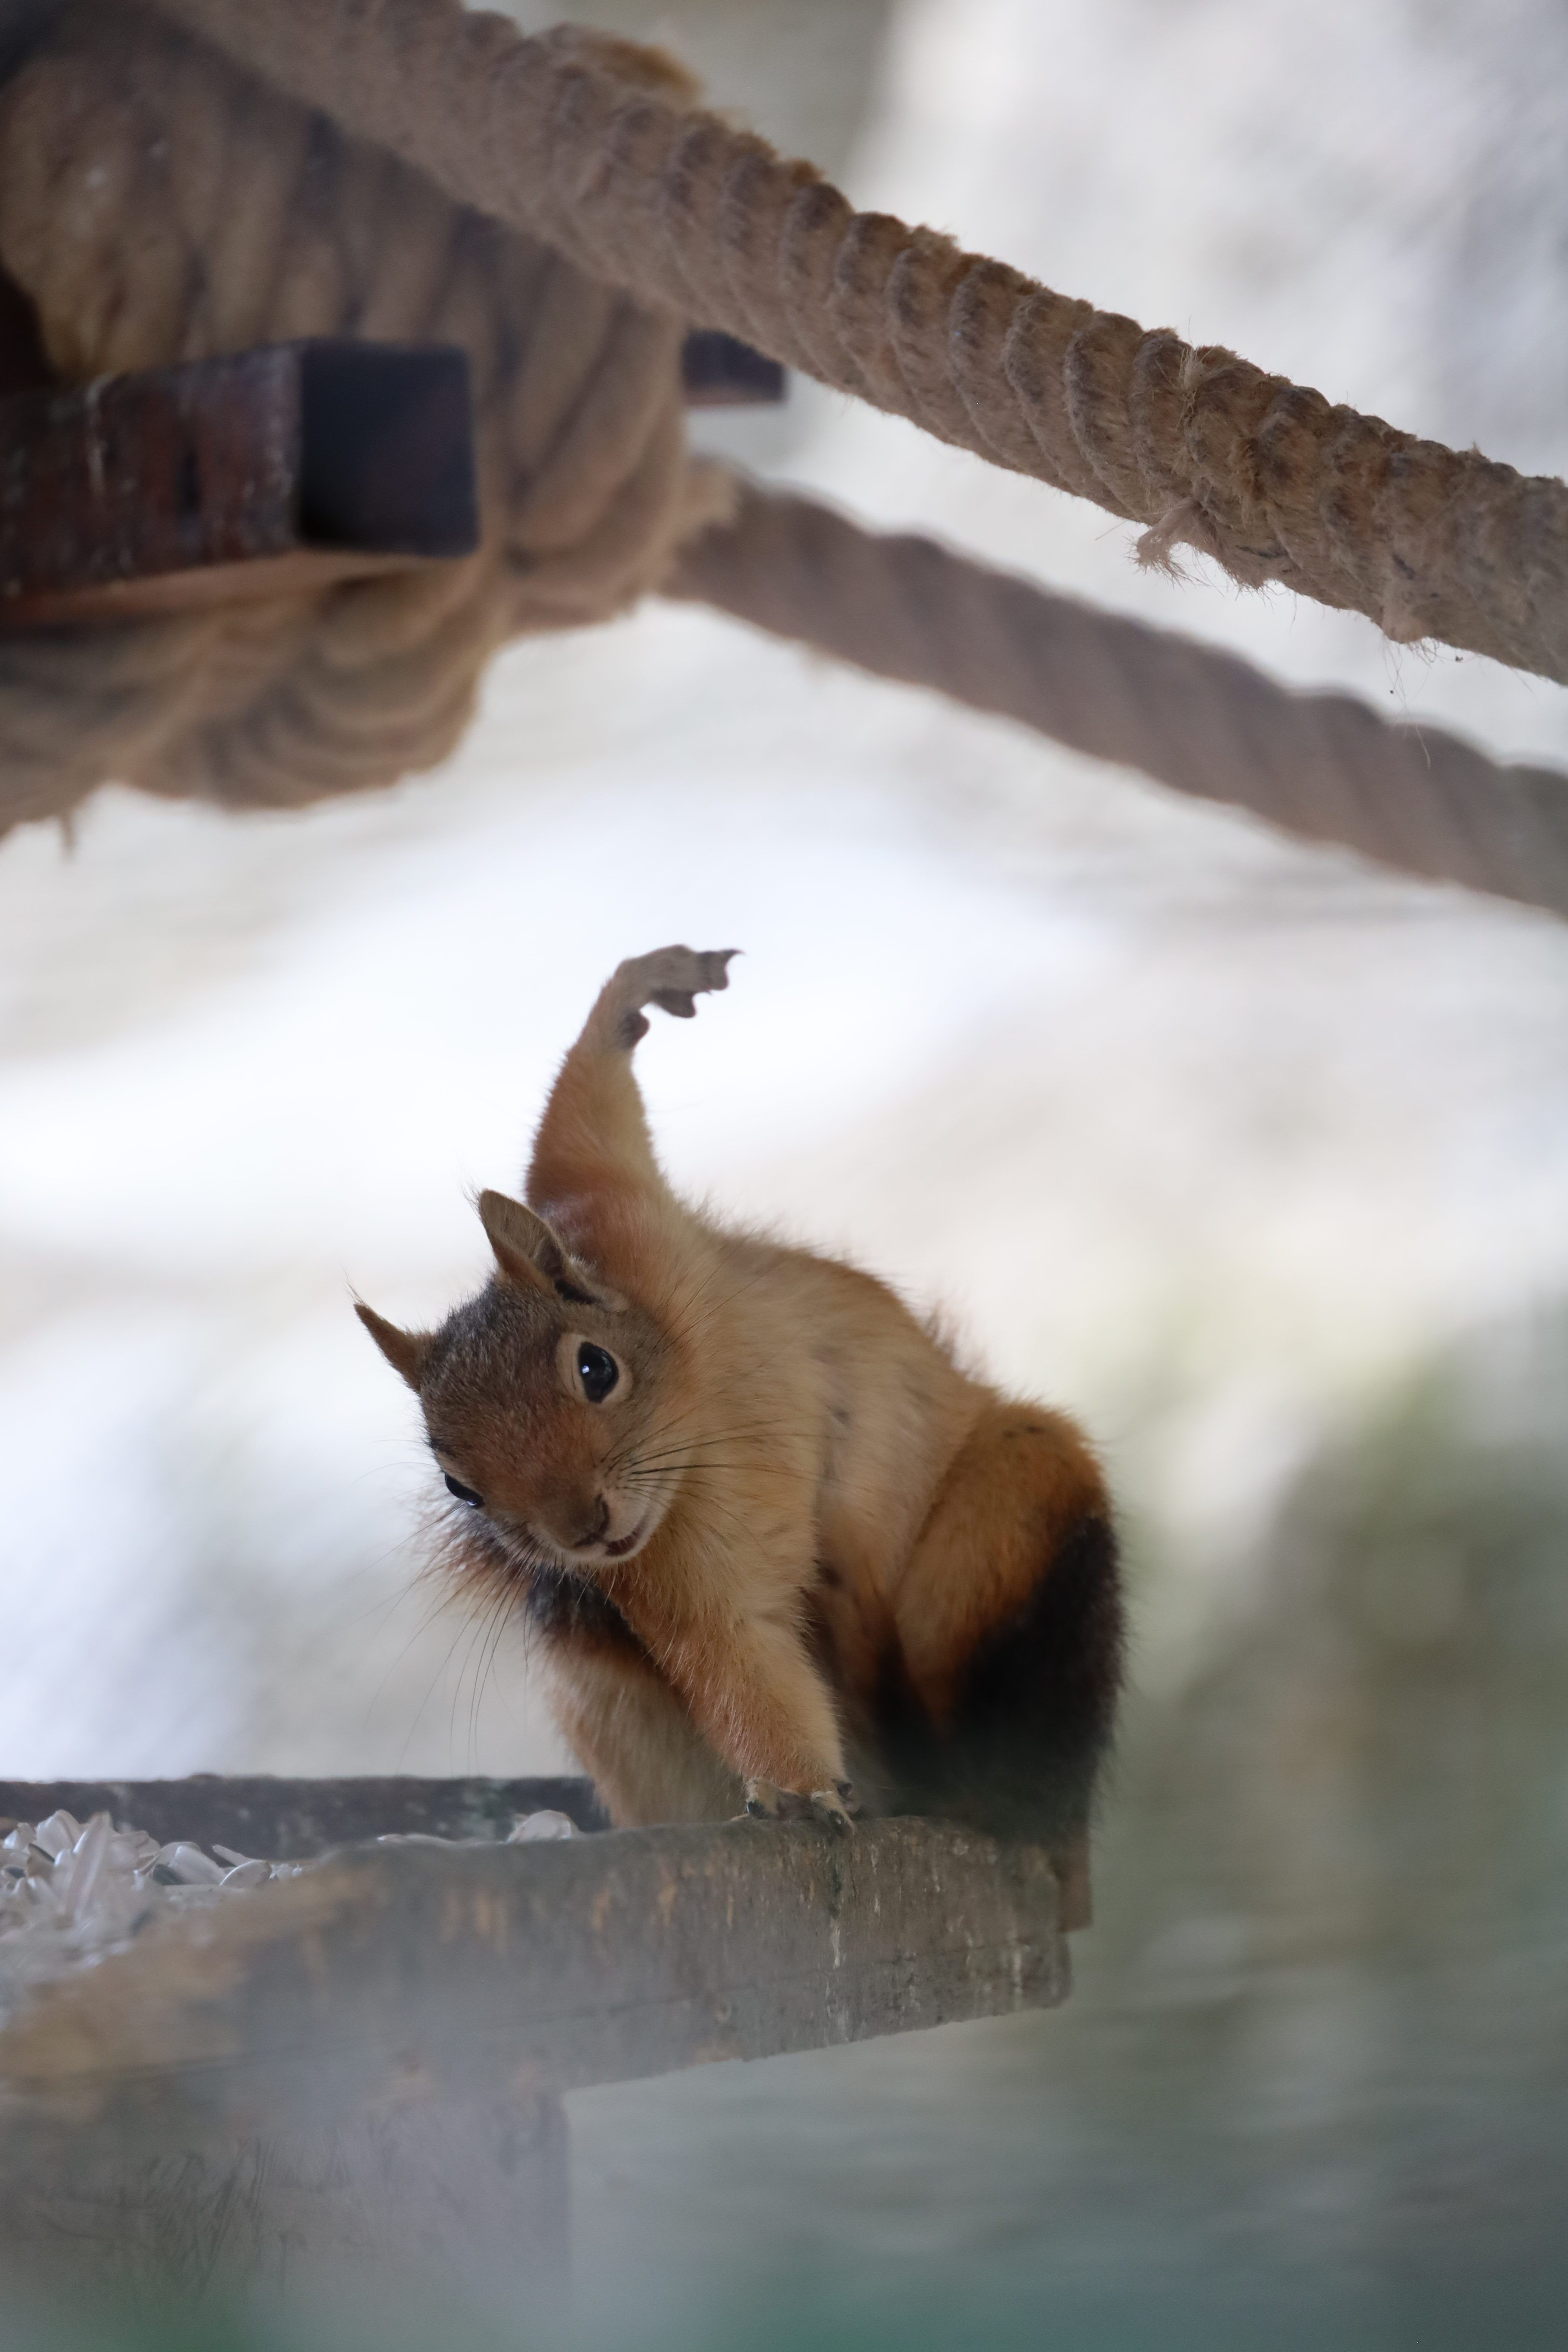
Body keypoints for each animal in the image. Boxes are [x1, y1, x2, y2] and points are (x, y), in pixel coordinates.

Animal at [357, 947, 1123, 1840]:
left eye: (596, 1368)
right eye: (459, 1488)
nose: (585, 1531)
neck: (703, 1409)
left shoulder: (630, 1226)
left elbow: (581, 1117)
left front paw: (641, 991)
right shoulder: (670, 1571)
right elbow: (737, 1655)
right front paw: (797, 1792)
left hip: (1013, 1506)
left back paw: (1003, 1796)